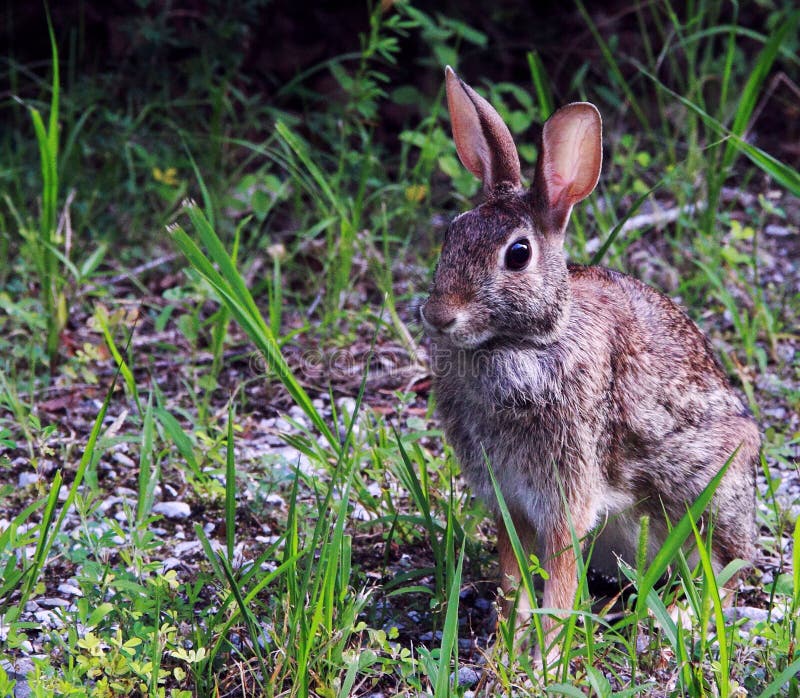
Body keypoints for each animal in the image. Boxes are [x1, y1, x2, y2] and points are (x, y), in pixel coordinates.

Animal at [420, 66, 758, 663]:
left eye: (518, 255)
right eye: (450, 233)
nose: (438, 315)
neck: (526, 341)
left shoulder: (566, 492)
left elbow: (558, 577)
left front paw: (543, 660)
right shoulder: (507, 500)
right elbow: (513, 577)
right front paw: (503, 649)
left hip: (709, 493)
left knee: (729, 570)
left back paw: (679, 617)